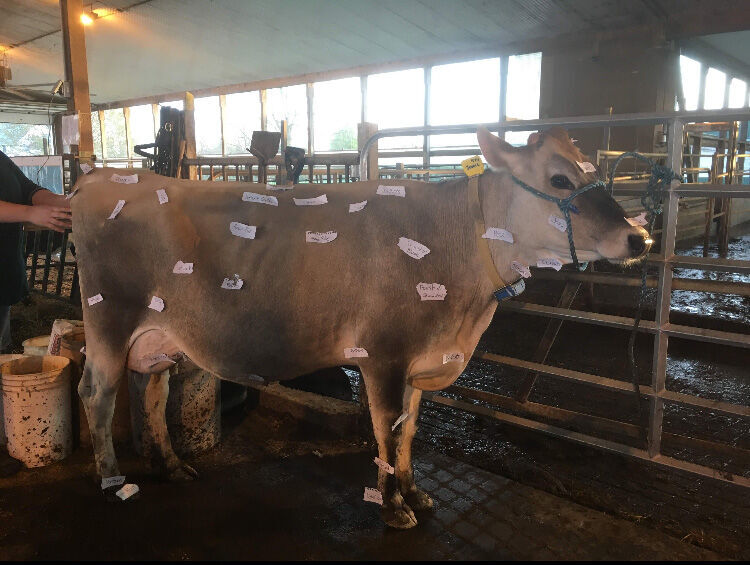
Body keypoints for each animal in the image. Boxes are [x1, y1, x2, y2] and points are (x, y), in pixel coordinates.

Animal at [71, 127, 648, 529]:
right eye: (559, 179)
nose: (638, 238)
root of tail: (100, 177)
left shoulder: (419, 361)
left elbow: (411, 431)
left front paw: (416, 493)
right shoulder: (384, 355)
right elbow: (386, 429)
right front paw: (393, 508)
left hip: (159, 335)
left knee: (151, 390)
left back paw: (170, 466)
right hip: (109, 318)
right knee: (97, 392)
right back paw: (111, 478)